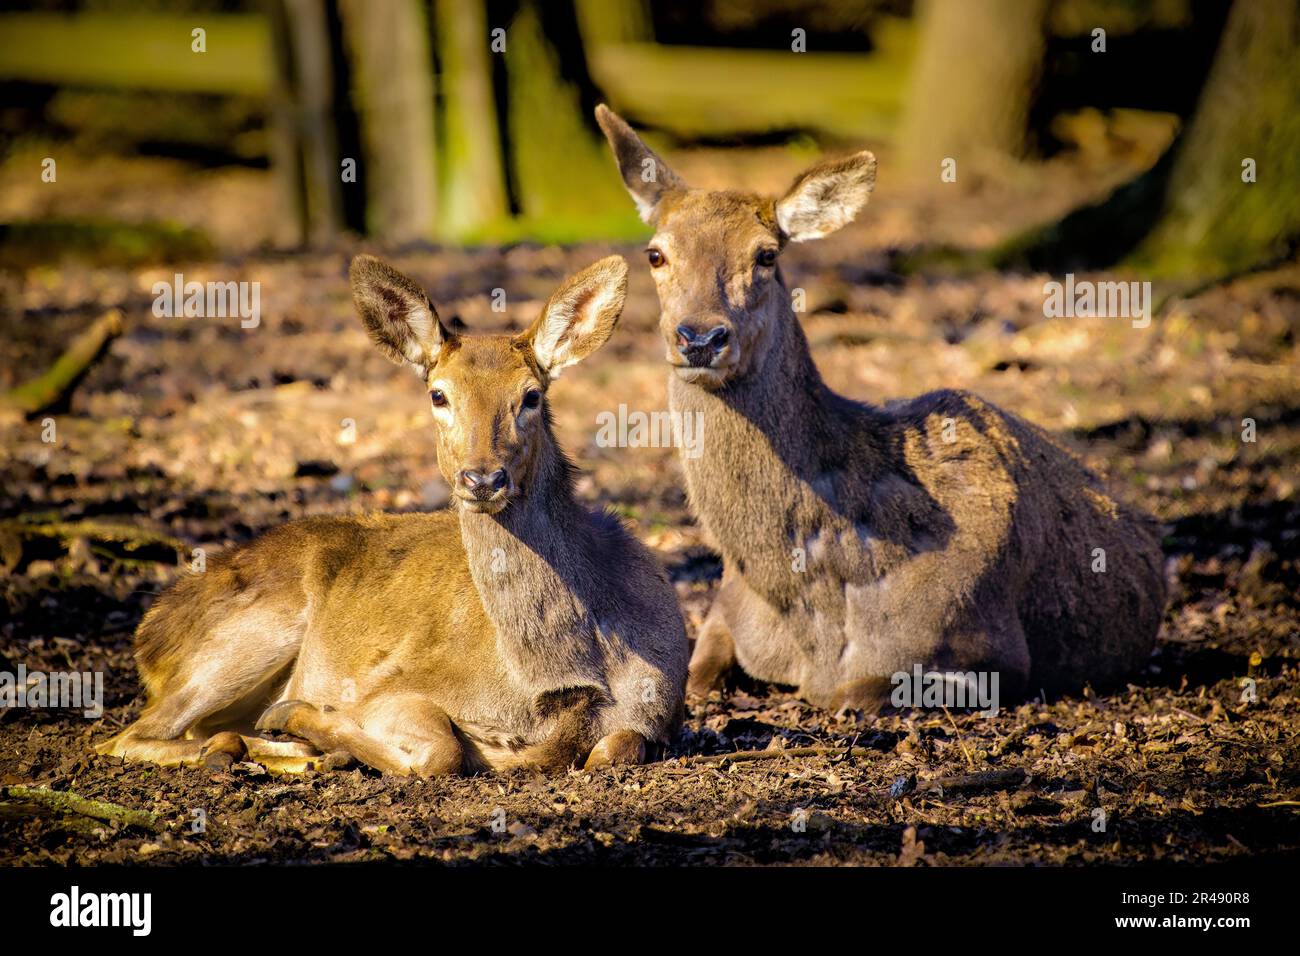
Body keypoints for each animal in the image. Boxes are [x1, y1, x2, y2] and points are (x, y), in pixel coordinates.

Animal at [96, 253, 689, 776]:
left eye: (531, 396)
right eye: (438, 394)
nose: (482, 478)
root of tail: (150, 634)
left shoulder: (657, 712)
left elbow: (618, 746)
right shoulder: (398, 686)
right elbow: (442, 753)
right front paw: (306, 720)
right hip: (249, 635)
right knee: (126, 736)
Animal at [596, 105, 1166, 713]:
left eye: (766, 254)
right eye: (656, 253)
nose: (700, 337)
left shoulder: (996, 647)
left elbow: (859, 690)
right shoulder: (725, 607)